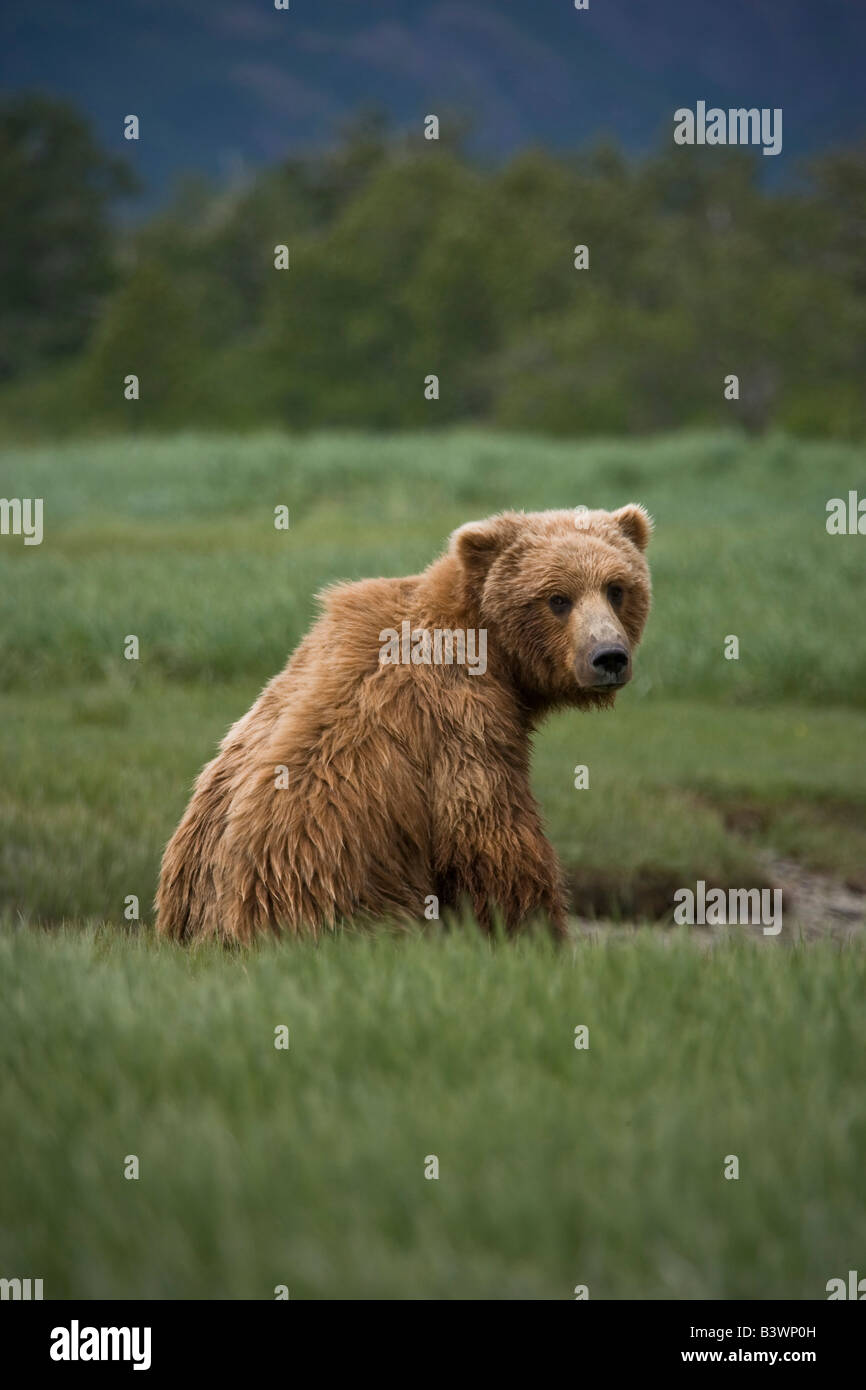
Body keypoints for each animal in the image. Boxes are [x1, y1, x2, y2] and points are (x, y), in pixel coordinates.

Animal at [155, 505, 652, 944]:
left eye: (617, 588)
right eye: (557, 599)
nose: (608, 657)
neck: (492, 649)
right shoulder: (462, 717)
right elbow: (490, 839)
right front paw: (537, 933)